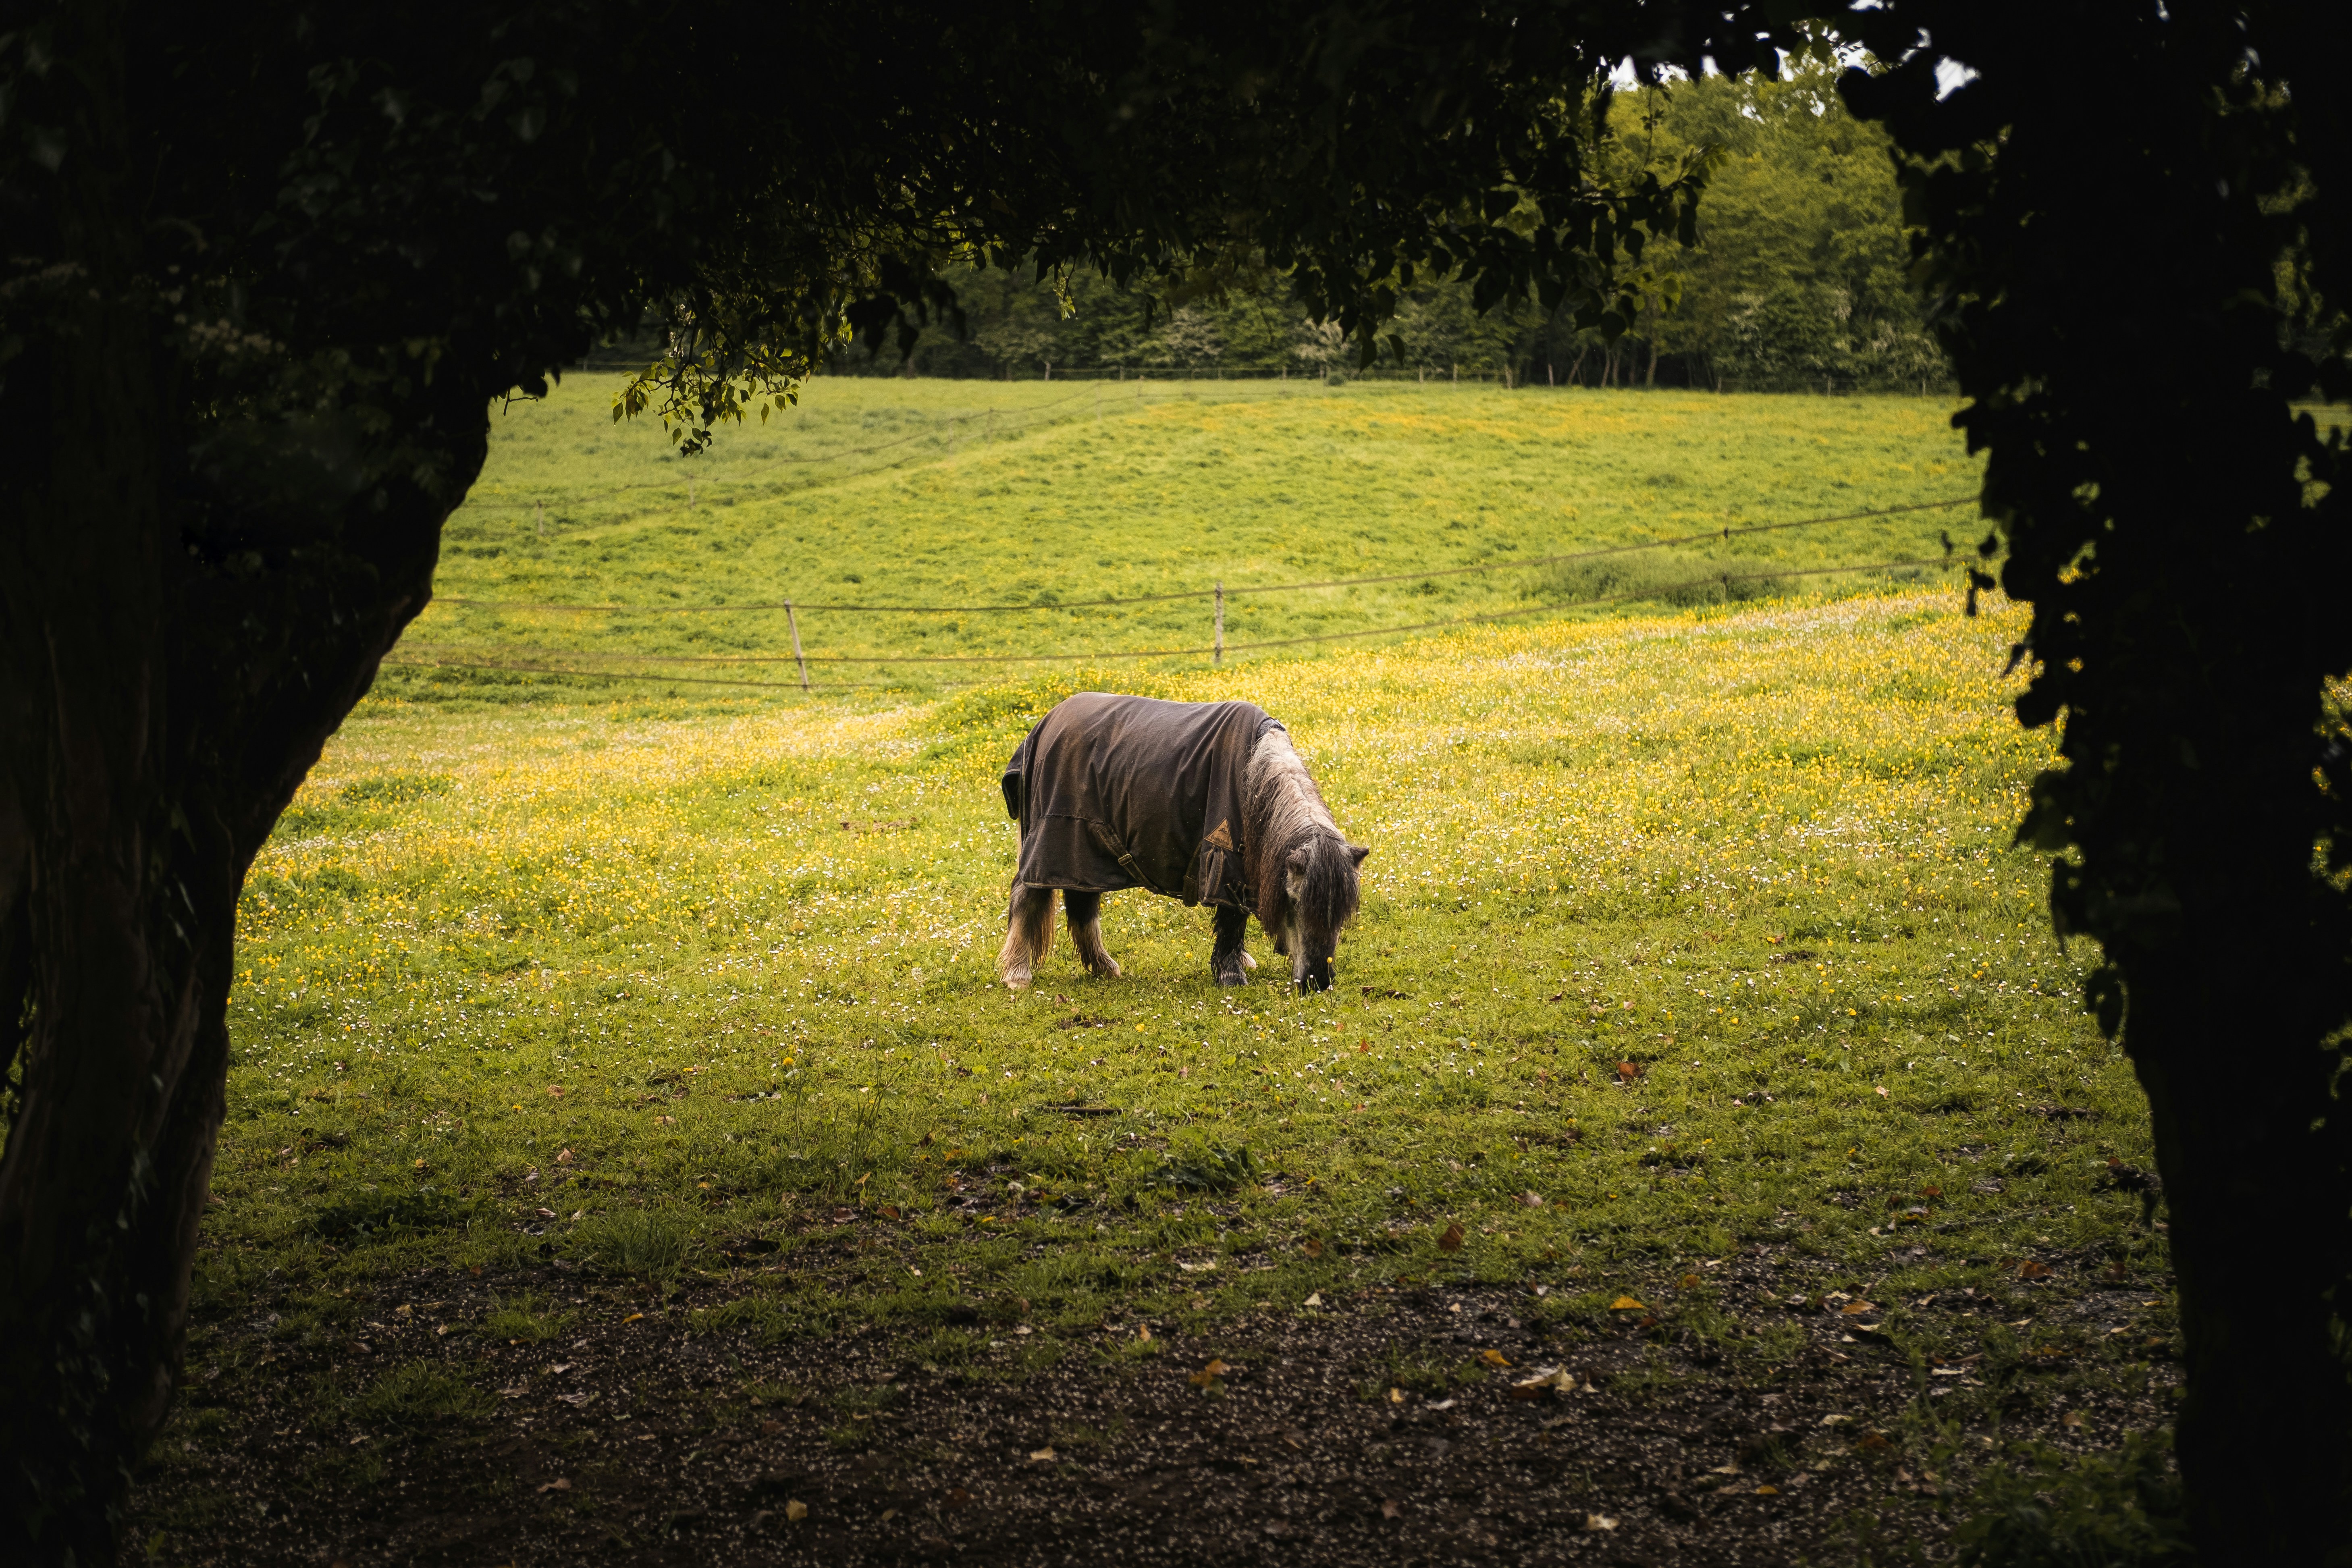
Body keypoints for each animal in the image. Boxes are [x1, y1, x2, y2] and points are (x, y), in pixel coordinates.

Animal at [994, 692, 1368, 992]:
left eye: (1342, 912)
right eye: (1295, 901)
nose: (1318, 983)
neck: (1253, 778)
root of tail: (1043, 726)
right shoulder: (1224, 860)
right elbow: (1232, 919)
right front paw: (1232, 975)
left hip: (1082, 851)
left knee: (1081, 902)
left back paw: (1103, 966)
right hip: (1051, 839)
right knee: (1027, 896)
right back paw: (1018, 973)